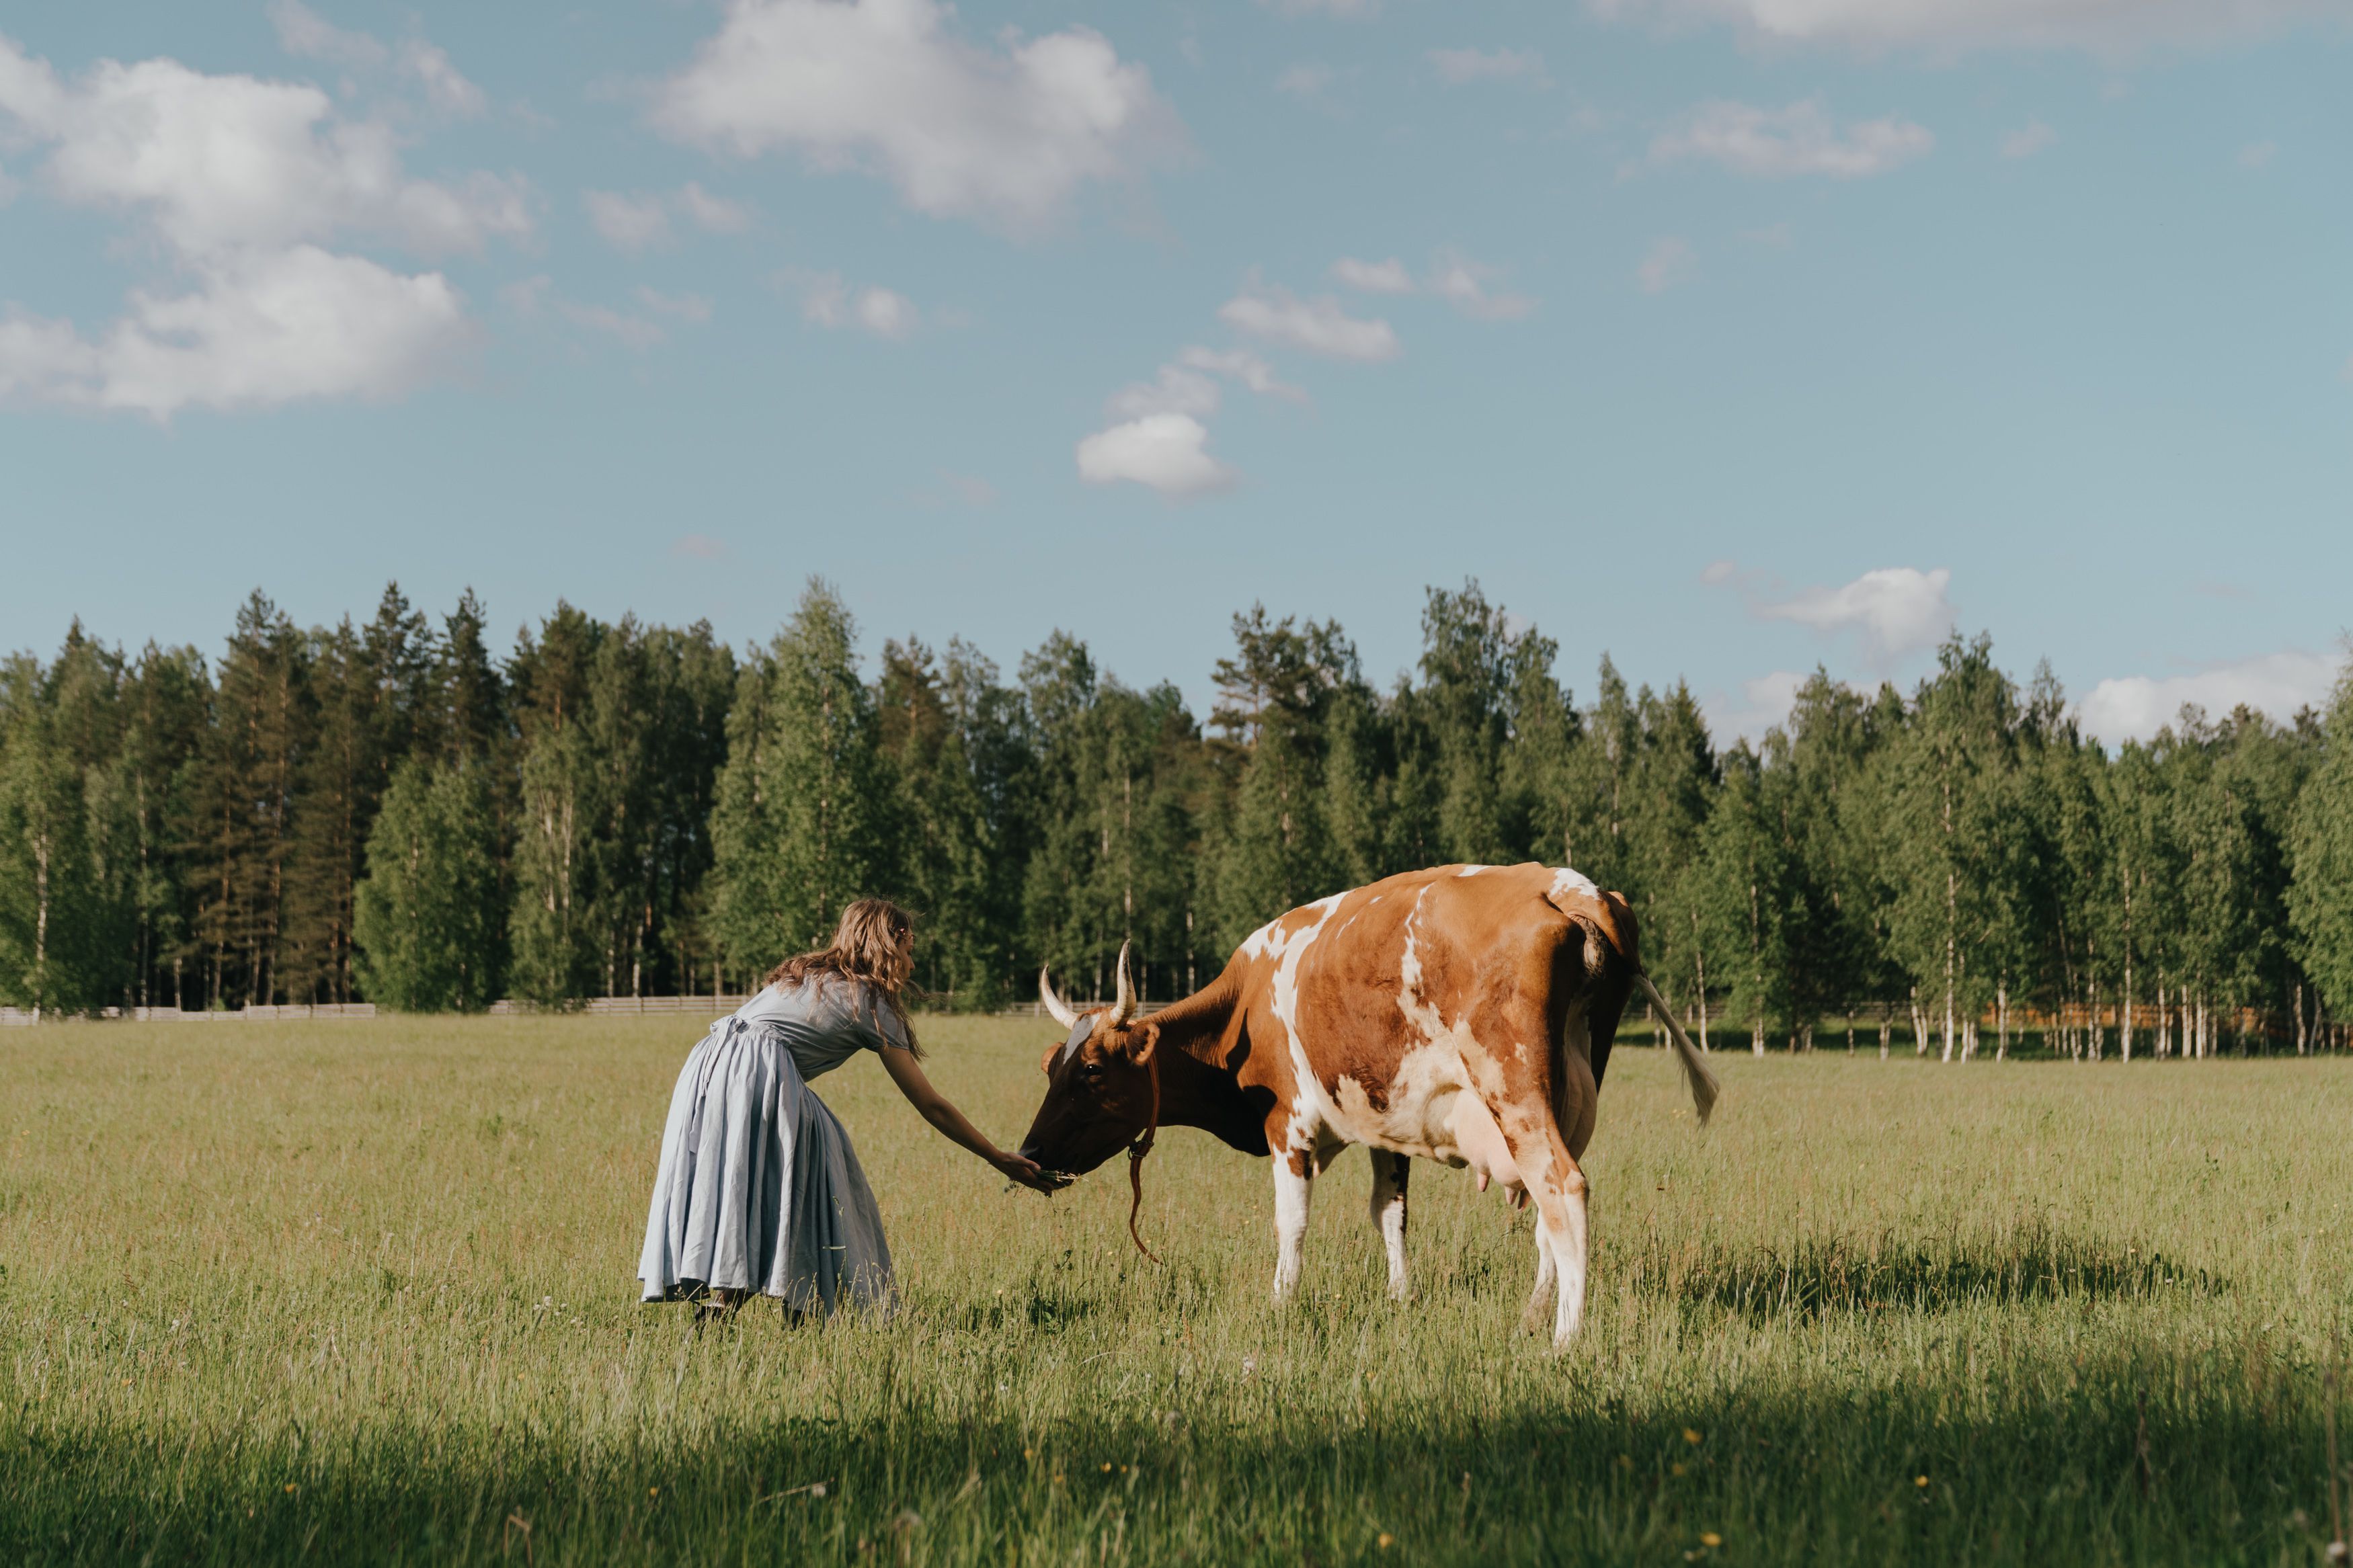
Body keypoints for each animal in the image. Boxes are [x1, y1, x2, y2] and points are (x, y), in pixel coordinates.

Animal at [1017, 862, 1719, 1349]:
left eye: (1090, 1070)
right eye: (1051, 1065)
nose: (1028, 1152)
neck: (1247, 1003)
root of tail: (1568, 886)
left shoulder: (1288, 1126)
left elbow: (1292, 1223)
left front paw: (1281, 1302)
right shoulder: (1389, 1128)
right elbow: (1390, 1214)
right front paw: (1400, 1296)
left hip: (1515, 1091)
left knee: (1563, 1187)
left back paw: (1564, 1336)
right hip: (1569, 1095)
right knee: (1550, 1208)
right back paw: (1532, 1314)